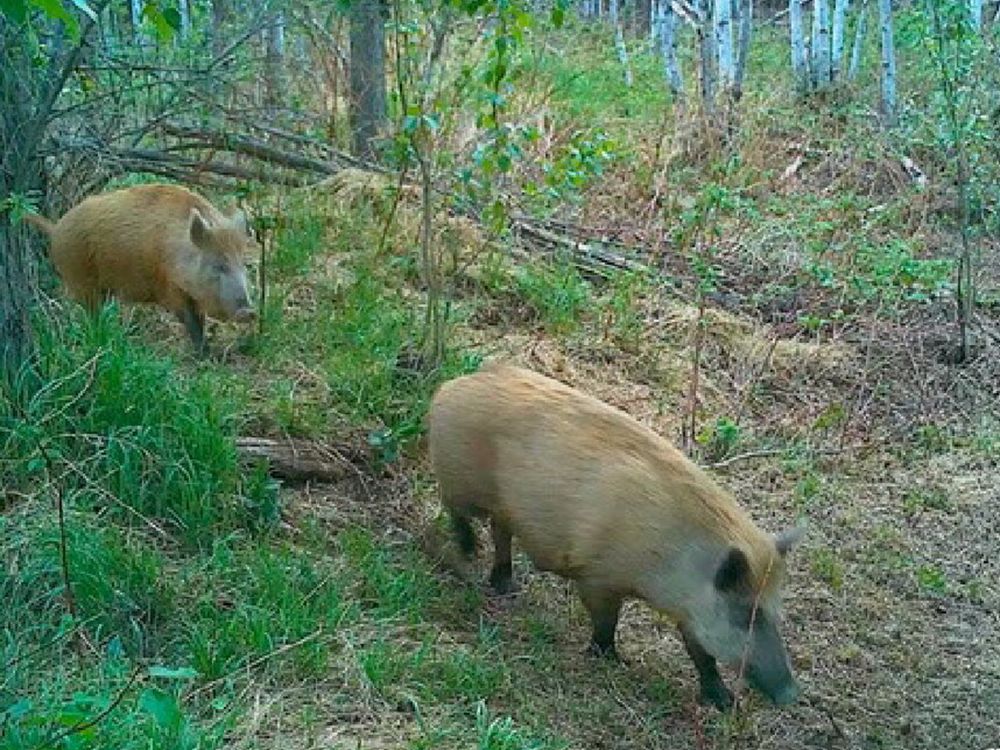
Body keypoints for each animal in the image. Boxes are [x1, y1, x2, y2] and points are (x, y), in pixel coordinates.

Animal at [24, 183, 256, 353]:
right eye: (218, 265)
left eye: (243, 264)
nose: (250, 311)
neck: (179, 255)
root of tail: (56, 229)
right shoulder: (169, 287)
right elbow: (191, 321)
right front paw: (205, 355)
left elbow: (201, 320)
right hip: (79, 279)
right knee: (90, 313)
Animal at [427, 364, 804, 710]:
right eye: (744, 613)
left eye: (776, 610)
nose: (792, 694)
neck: (679, 561)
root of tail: (451, 386)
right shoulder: (599, 576)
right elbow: (607, 621)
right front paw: (611, 659)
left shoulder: (690, 612)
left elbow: (701, 653)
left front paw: (724, 702)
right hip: (459, 479)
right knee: (455, 507)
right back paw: (468, 551)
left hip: (504, 506)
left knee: (500, 530)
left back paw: (506, 586)